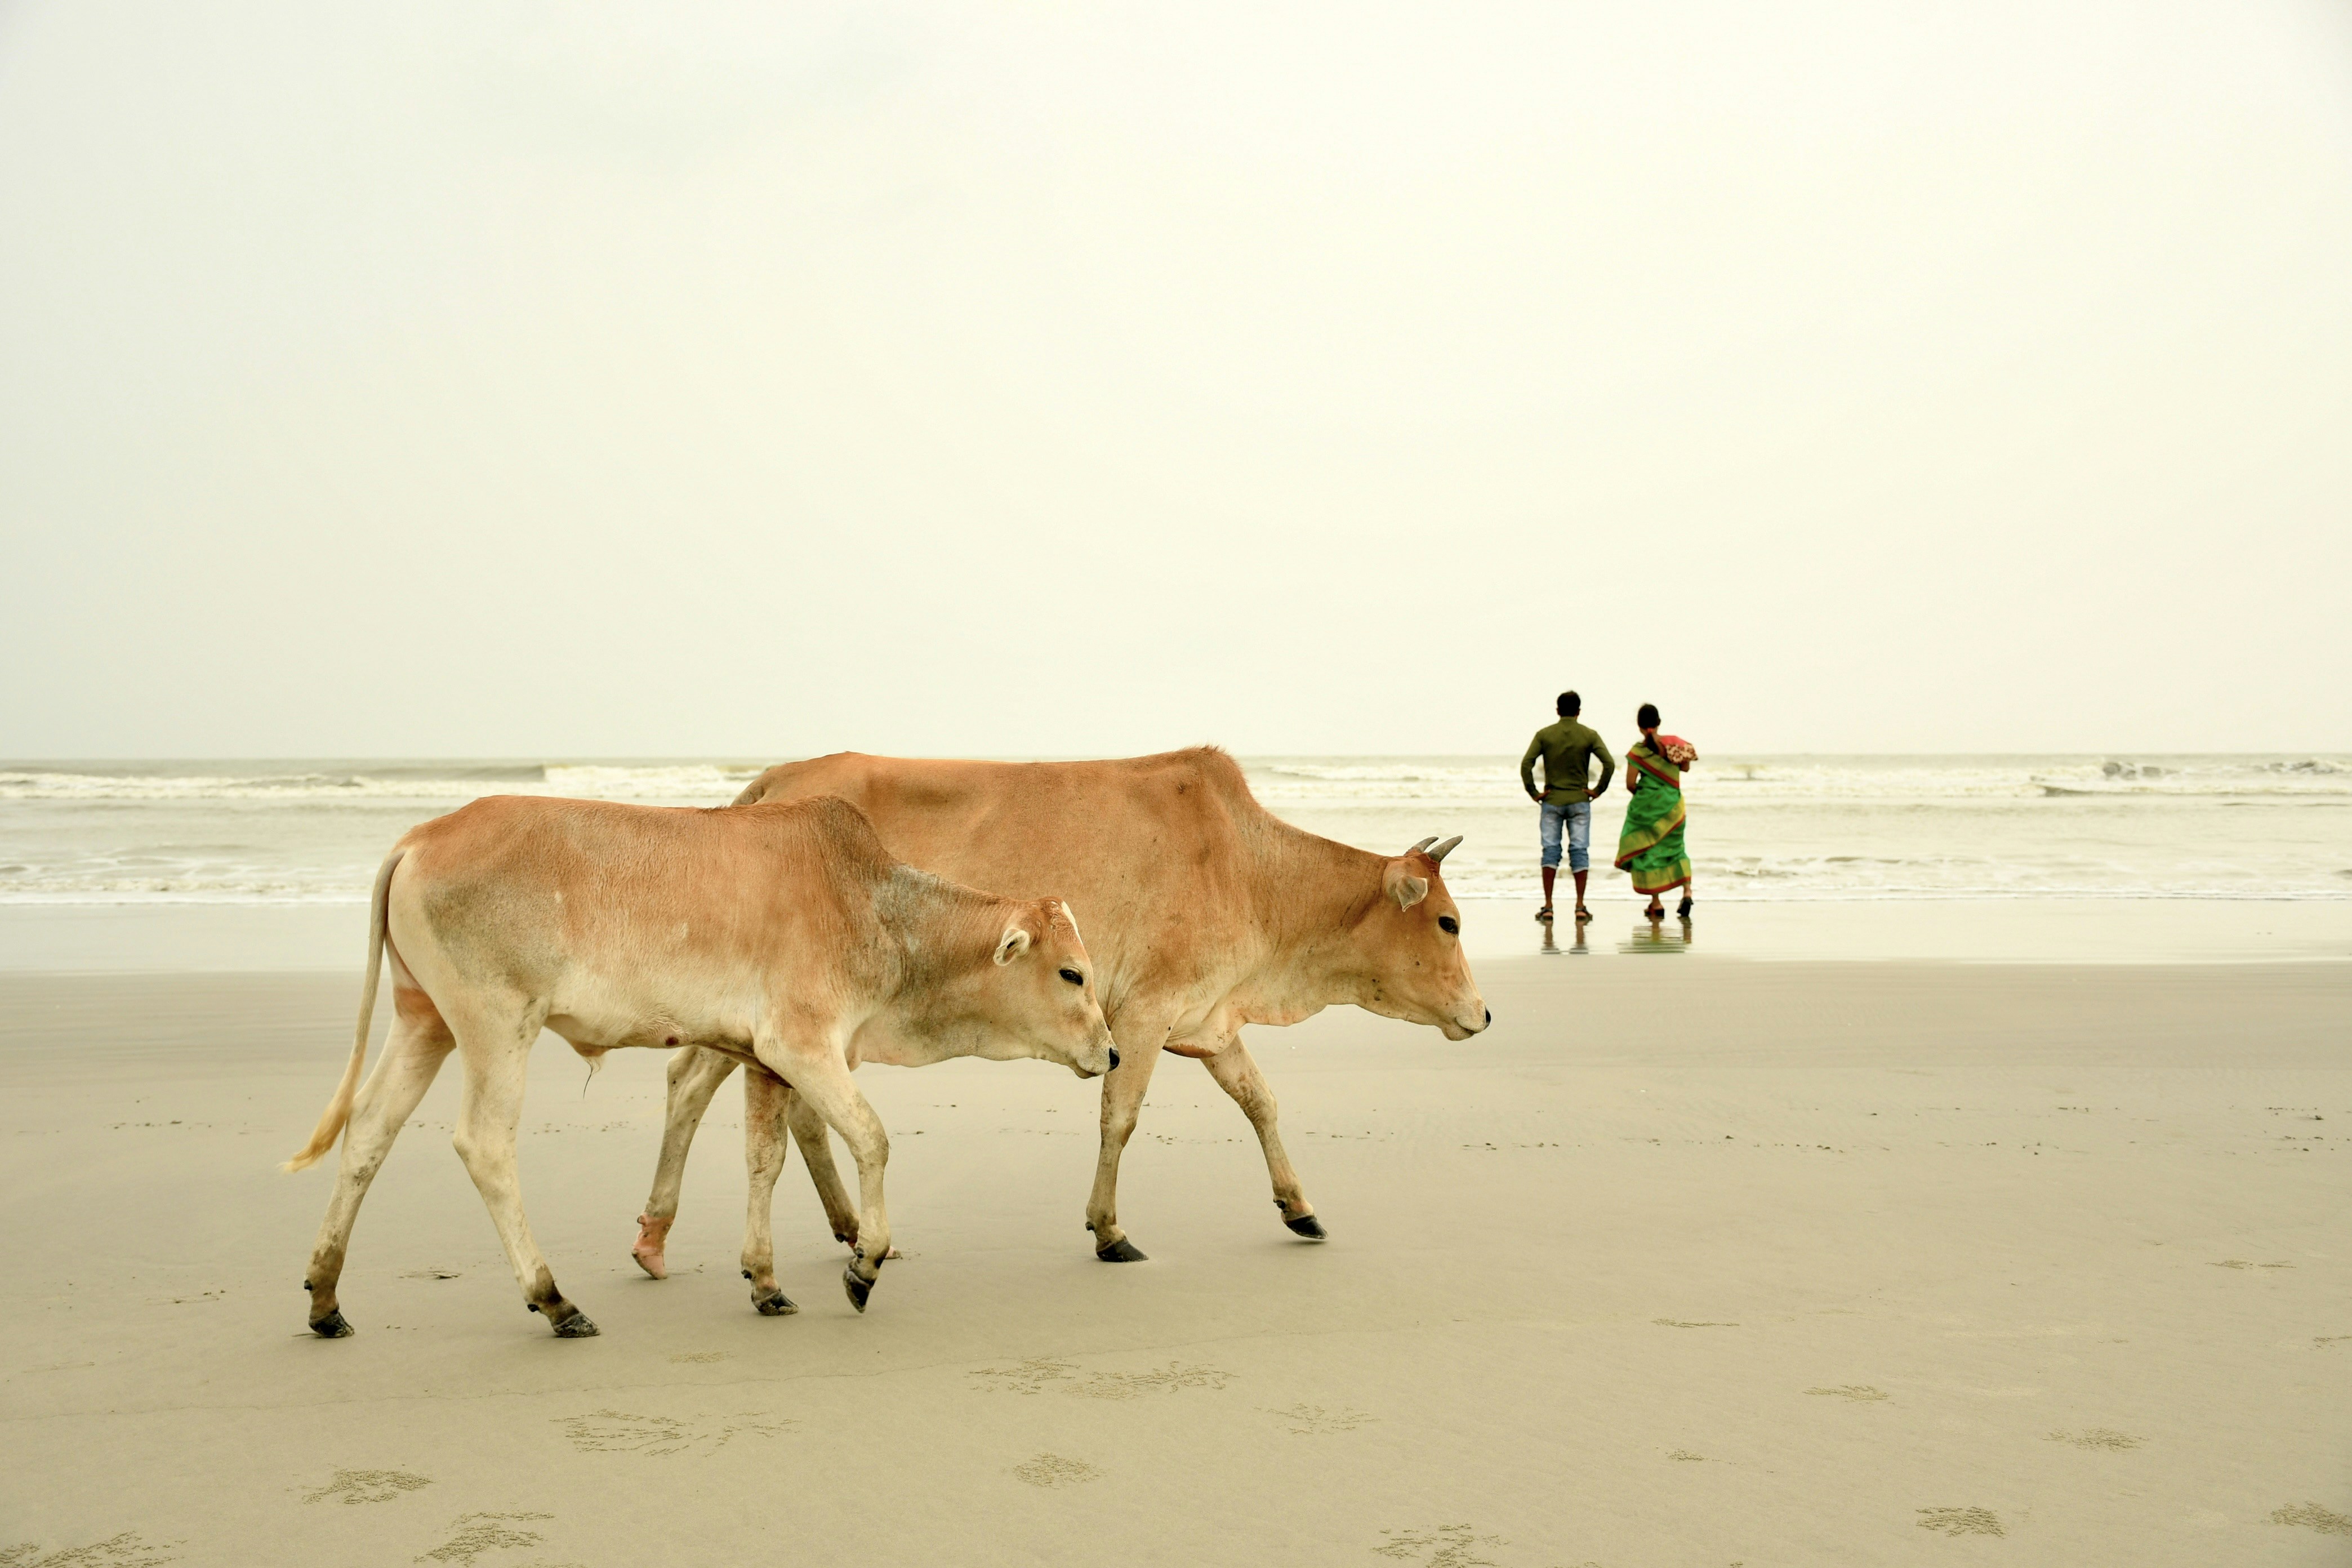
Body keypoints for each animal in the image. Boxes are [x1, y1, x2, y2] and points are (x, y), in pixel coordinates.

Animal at [282, 793, 1117, 1338]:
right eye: (1072, 974)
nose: (1111, 1052)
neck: (877, 911)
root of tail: (422, 836)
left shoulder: (764, 1061)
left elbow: (765, 1160)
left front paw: (766, 1281)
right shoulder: (801, 1046)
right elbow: (872, 1140)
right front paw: (863, 1266)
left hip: (423, 1021)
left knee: (369, 1131)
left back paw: (325, 1297)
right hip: (496, 1027)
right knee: (484, 1146)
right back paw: (554, 1301)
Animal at [629, 747, 1488, 1279]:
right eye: (1448, 922)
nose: (1483, 1016)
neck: (1252, 871)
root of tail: (778, 777)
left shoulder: (1208, 1024)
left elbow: (1262, 1104)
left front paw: (1301, 1209)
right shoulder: (1143, 1013)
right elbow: (1121, 1117)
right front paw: (1110, 1231)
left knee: (710, 1086)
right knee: (707, 1086)